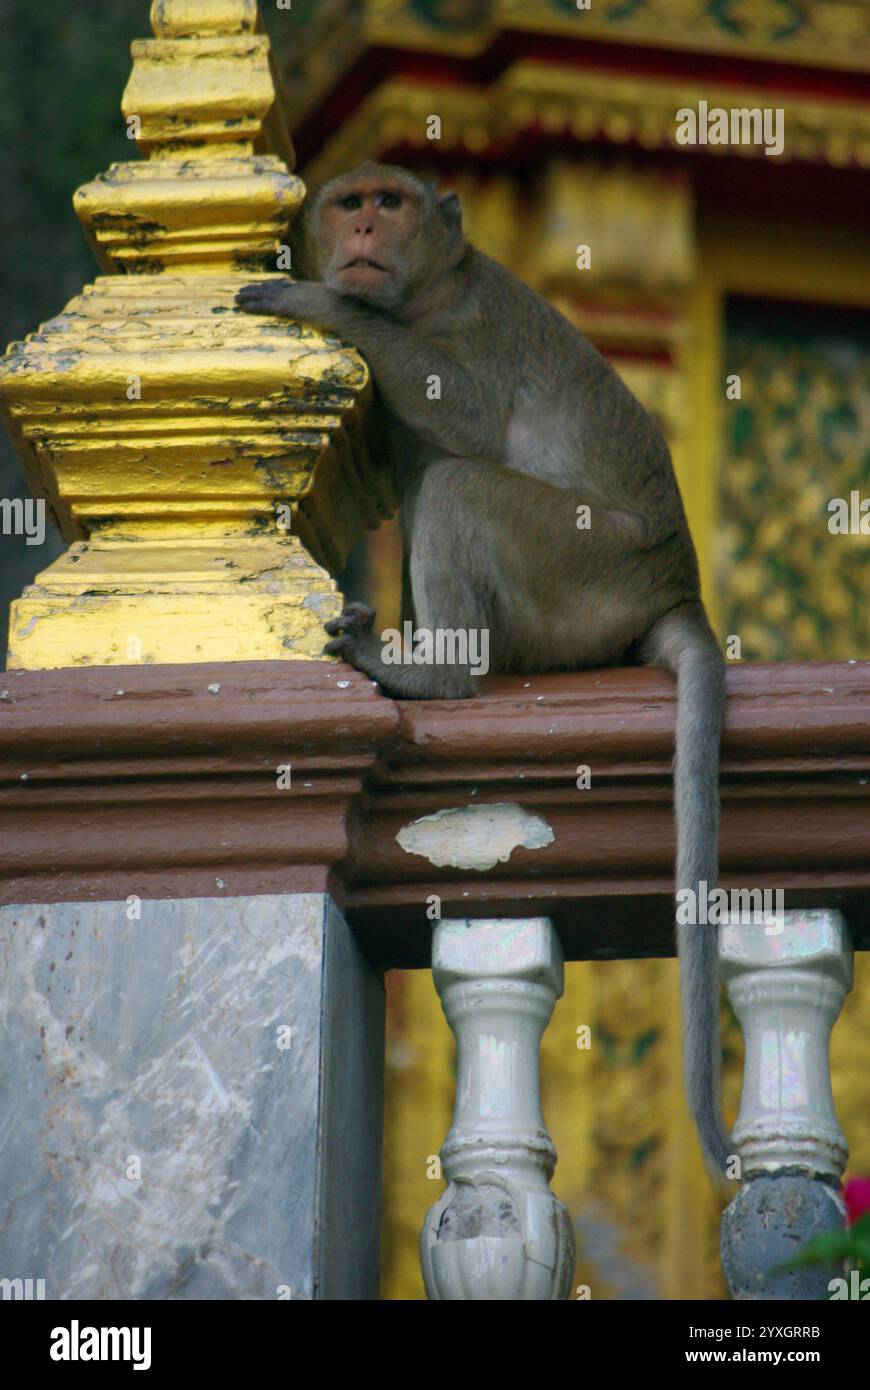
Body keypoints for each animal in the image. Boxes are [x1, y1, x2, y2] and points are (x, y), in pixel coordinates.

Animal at [236, 162, 730, 1183]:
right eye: (350, 203)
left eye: (388, 201)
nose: (364, 231)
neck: (424, 290)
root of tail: (674, 584)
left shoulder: (466, 323)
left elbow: (459, 412)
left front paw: (318, 301)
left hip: (585, 565)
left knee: (461, 483)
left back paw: (441, 680)